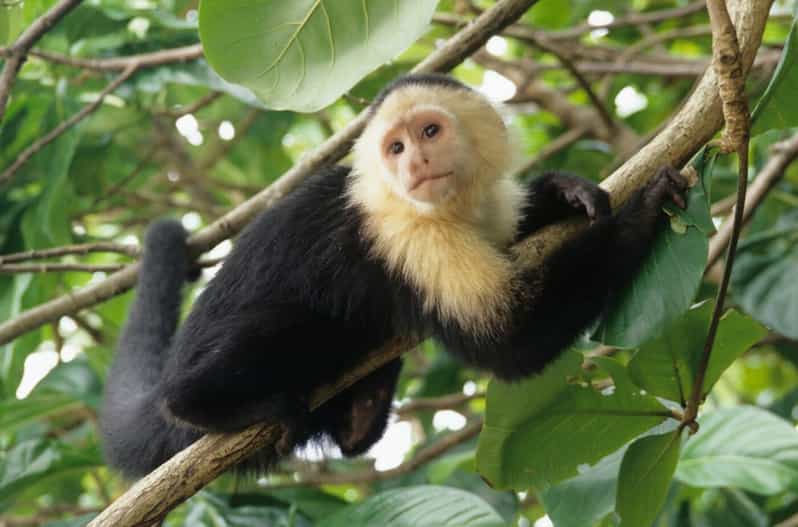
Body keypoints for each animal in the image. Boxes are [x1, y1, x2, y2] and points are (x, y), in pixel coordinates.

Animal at [100, 73, 688, 479]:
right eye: (396, 148)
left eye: (430, 131)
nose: (415, 163)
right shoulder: (405, 234)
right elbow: (507, 341)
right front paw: (643, 211)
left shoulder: (485, 210)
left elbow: (515, 241)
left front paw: (562, 192)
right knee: (284, 325)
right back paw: (208, 402)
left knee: (352, 424)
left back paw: (365, 405)